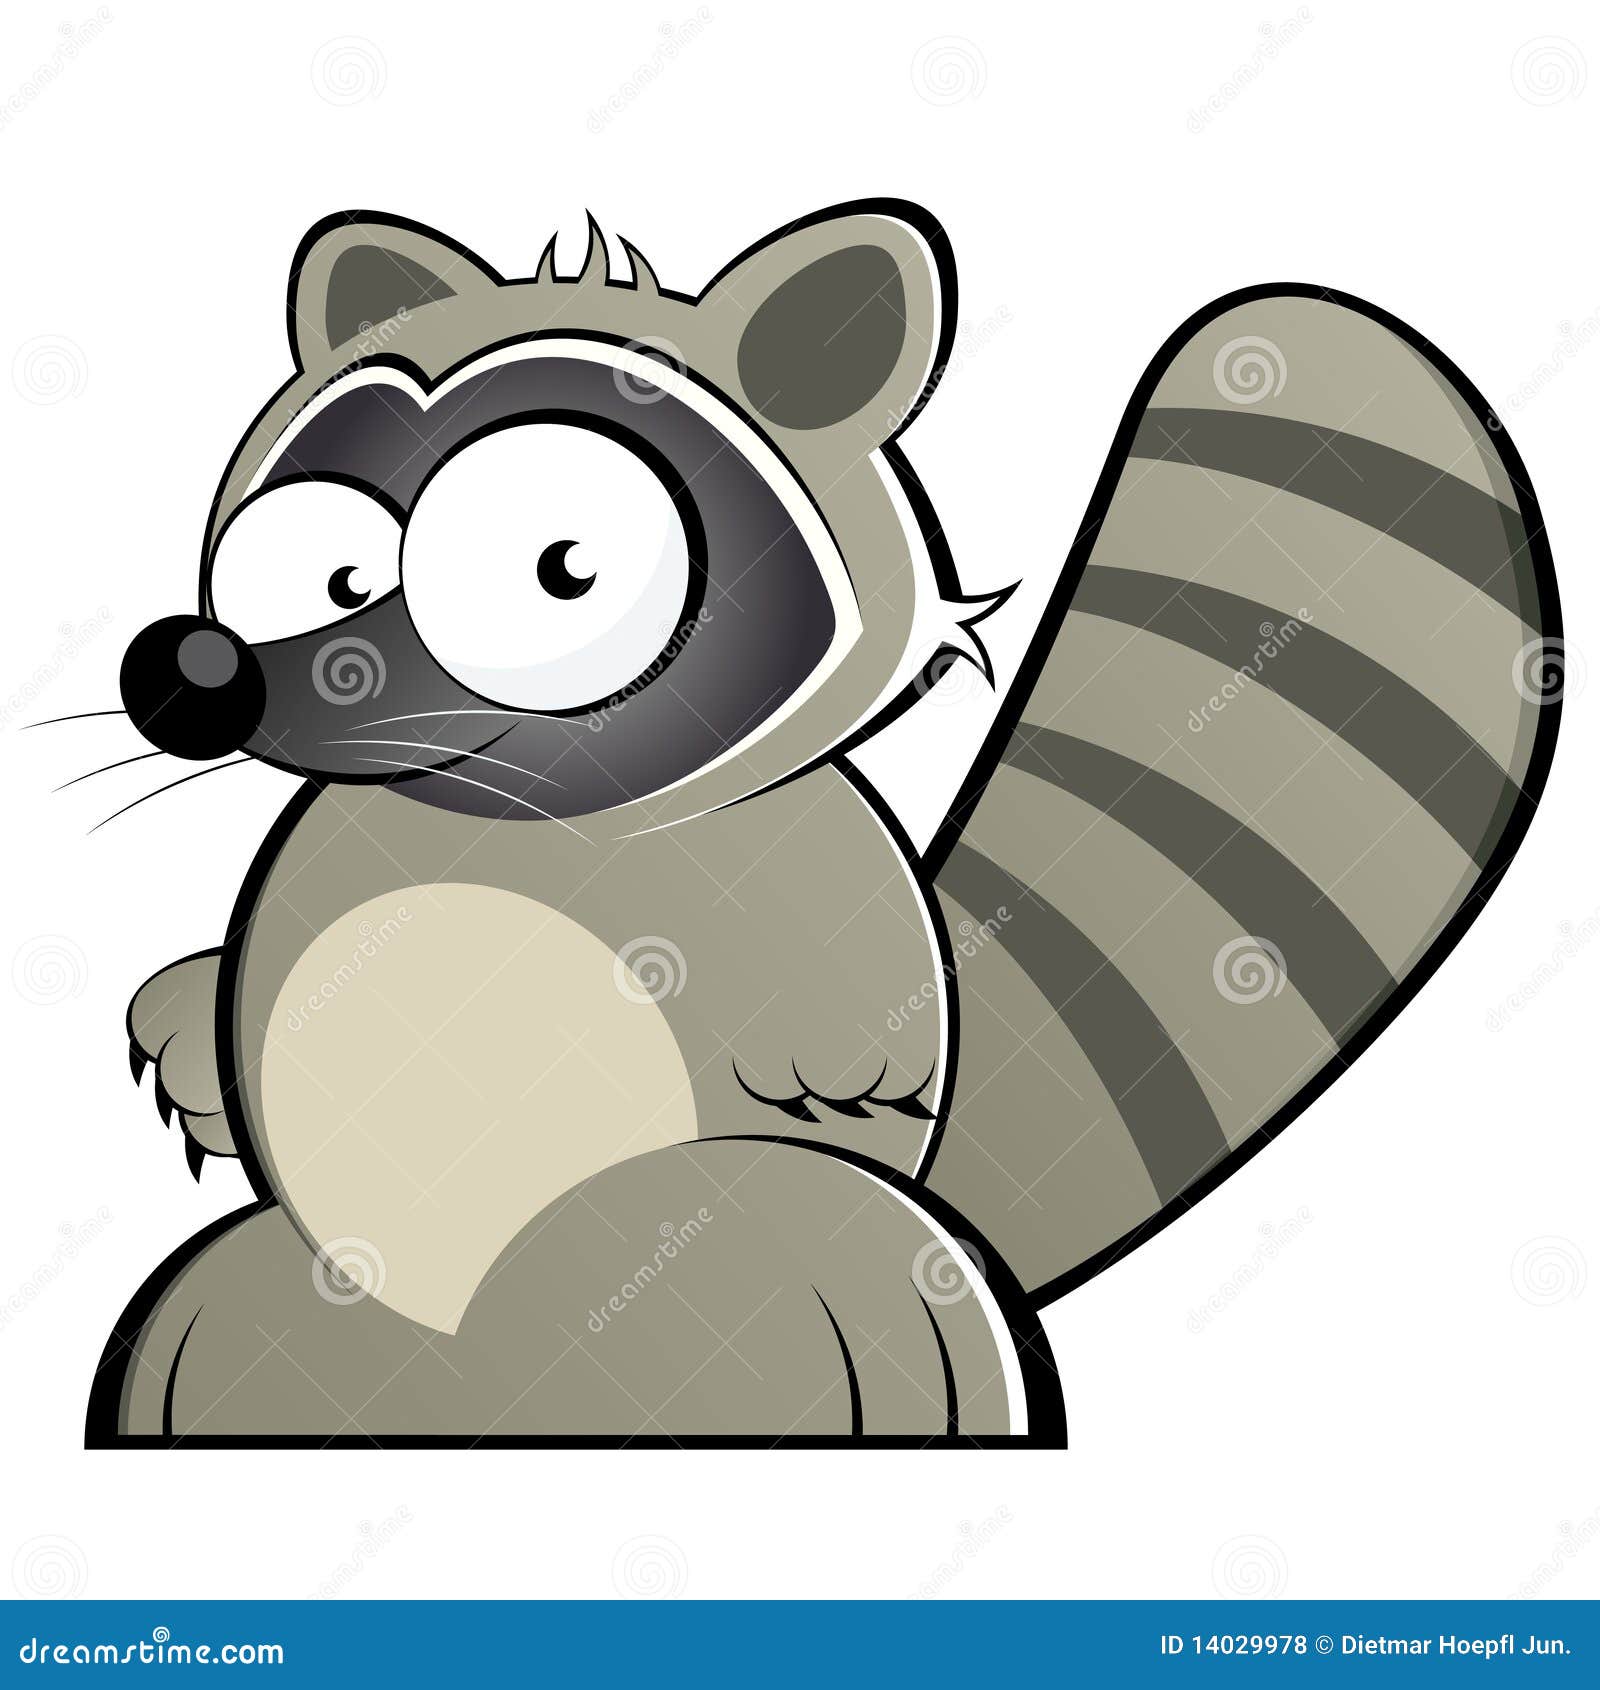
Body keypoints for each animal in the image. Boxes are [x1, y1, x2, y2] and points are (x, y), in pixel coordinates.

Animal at [84, 203, 1560, 1444]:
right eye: (316, 560)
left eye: (565, 568)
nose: (197, 672)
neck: (502, 816)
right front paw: (189, 1022)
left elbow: (843, 1009)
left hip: (763, 1259)